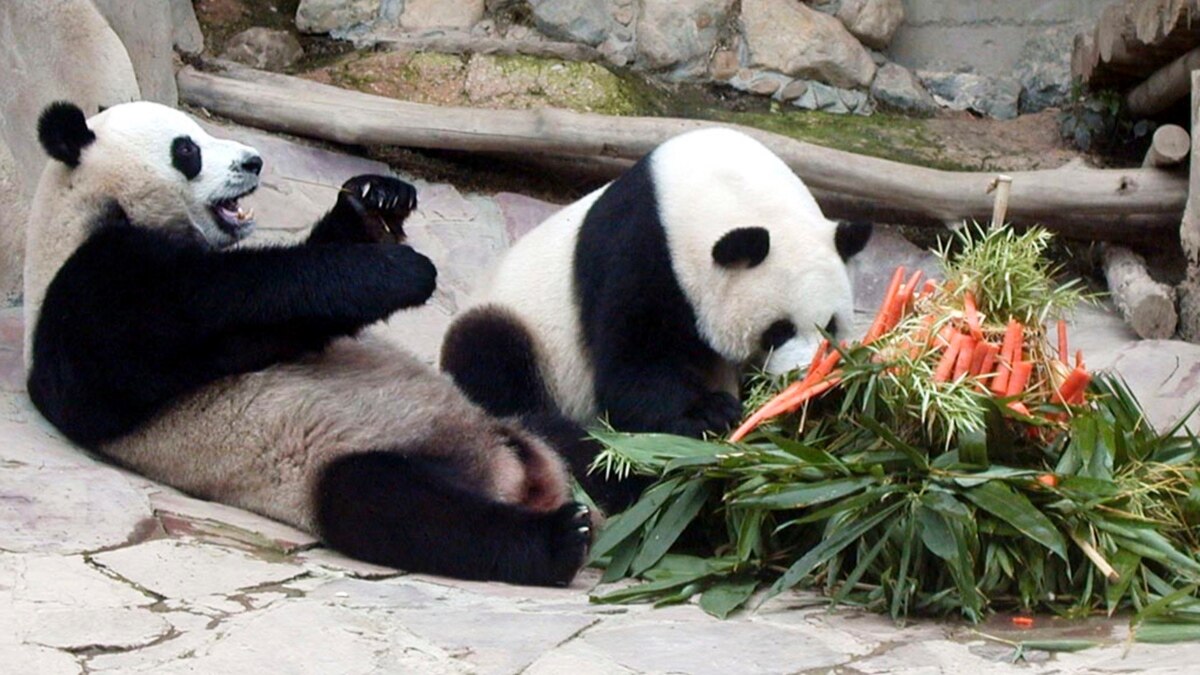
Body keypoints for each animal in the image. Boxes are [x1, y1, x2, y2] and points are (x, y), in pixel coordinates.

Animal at [23, 100, 593, 586]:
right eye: (186, 149)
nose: (253, 161)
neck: (84, 206)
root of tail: (521, 473)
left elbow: (296, 320)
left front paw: (375, 199)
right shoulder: (86, 300)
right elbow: (199, 313)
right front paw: (396, 270)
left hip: (511, 420)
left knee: (583, 444)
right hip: (343, 467)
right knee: (398, 509)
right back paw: (562, 538)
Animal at [442, 127, 870, 451]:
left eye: (832, 326)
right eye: (777, 331)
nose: (802, 377)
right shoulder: (639, 250)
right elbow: (633, 367)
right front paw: (708, 412)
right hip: (522, 331)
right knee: (491, 356)